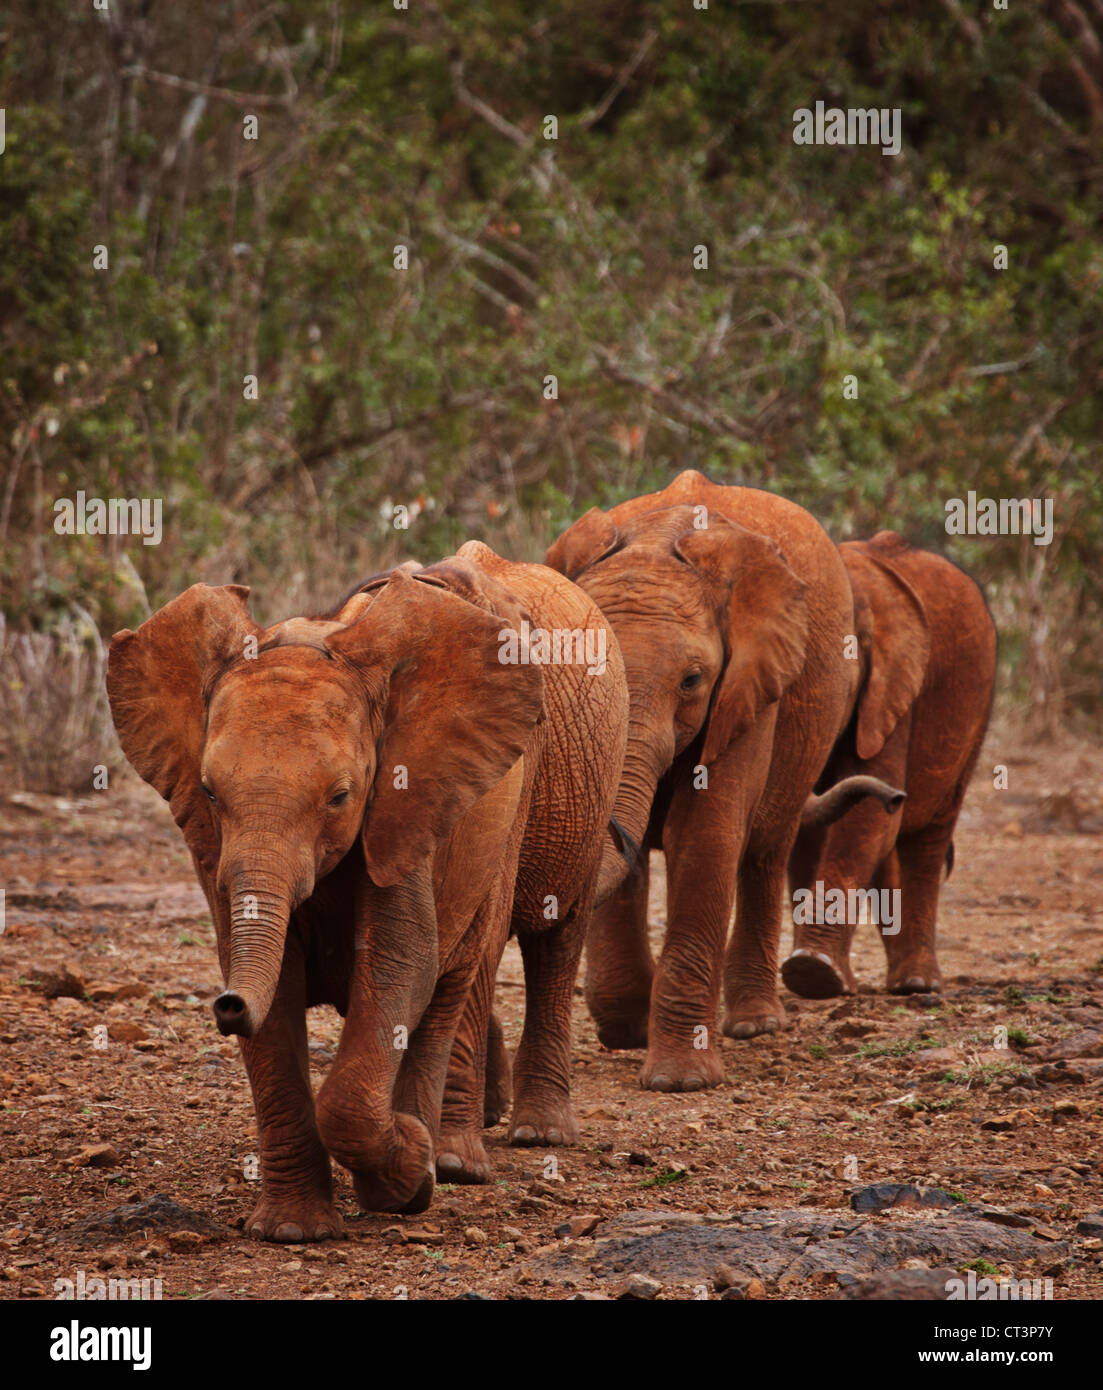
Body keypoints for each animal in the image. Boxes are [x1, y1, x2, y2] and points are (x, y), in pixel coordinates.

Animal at [106, 540, 626, 1239]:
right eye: (211, 793)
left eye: (340, 796)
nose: (227, 1005)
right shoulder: (212, 846)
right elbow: (275, 987)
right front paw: (293, 1231)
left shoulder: (406, 802)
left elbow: (401, 962)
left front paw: (407, 1178)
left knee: (497, 958)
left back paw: (464, 1158)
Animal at [547, 469, 902, 1092]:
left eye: (692, 681)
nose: (896, 798)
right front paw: (626, 1033)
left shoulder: (751, 682)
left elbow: (704, 836)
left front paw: (680, 1081)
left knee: (765, 850)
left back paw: (756, 1026)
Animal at [783, 531, 996, 998]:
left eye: (839, 690)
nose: (896, 797)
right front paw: (811, 976)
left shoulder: (892, 692)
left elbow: (865, 819)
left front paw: (814, 972)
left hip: (975, 716)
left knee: (926, 839)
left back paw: (916, 984)